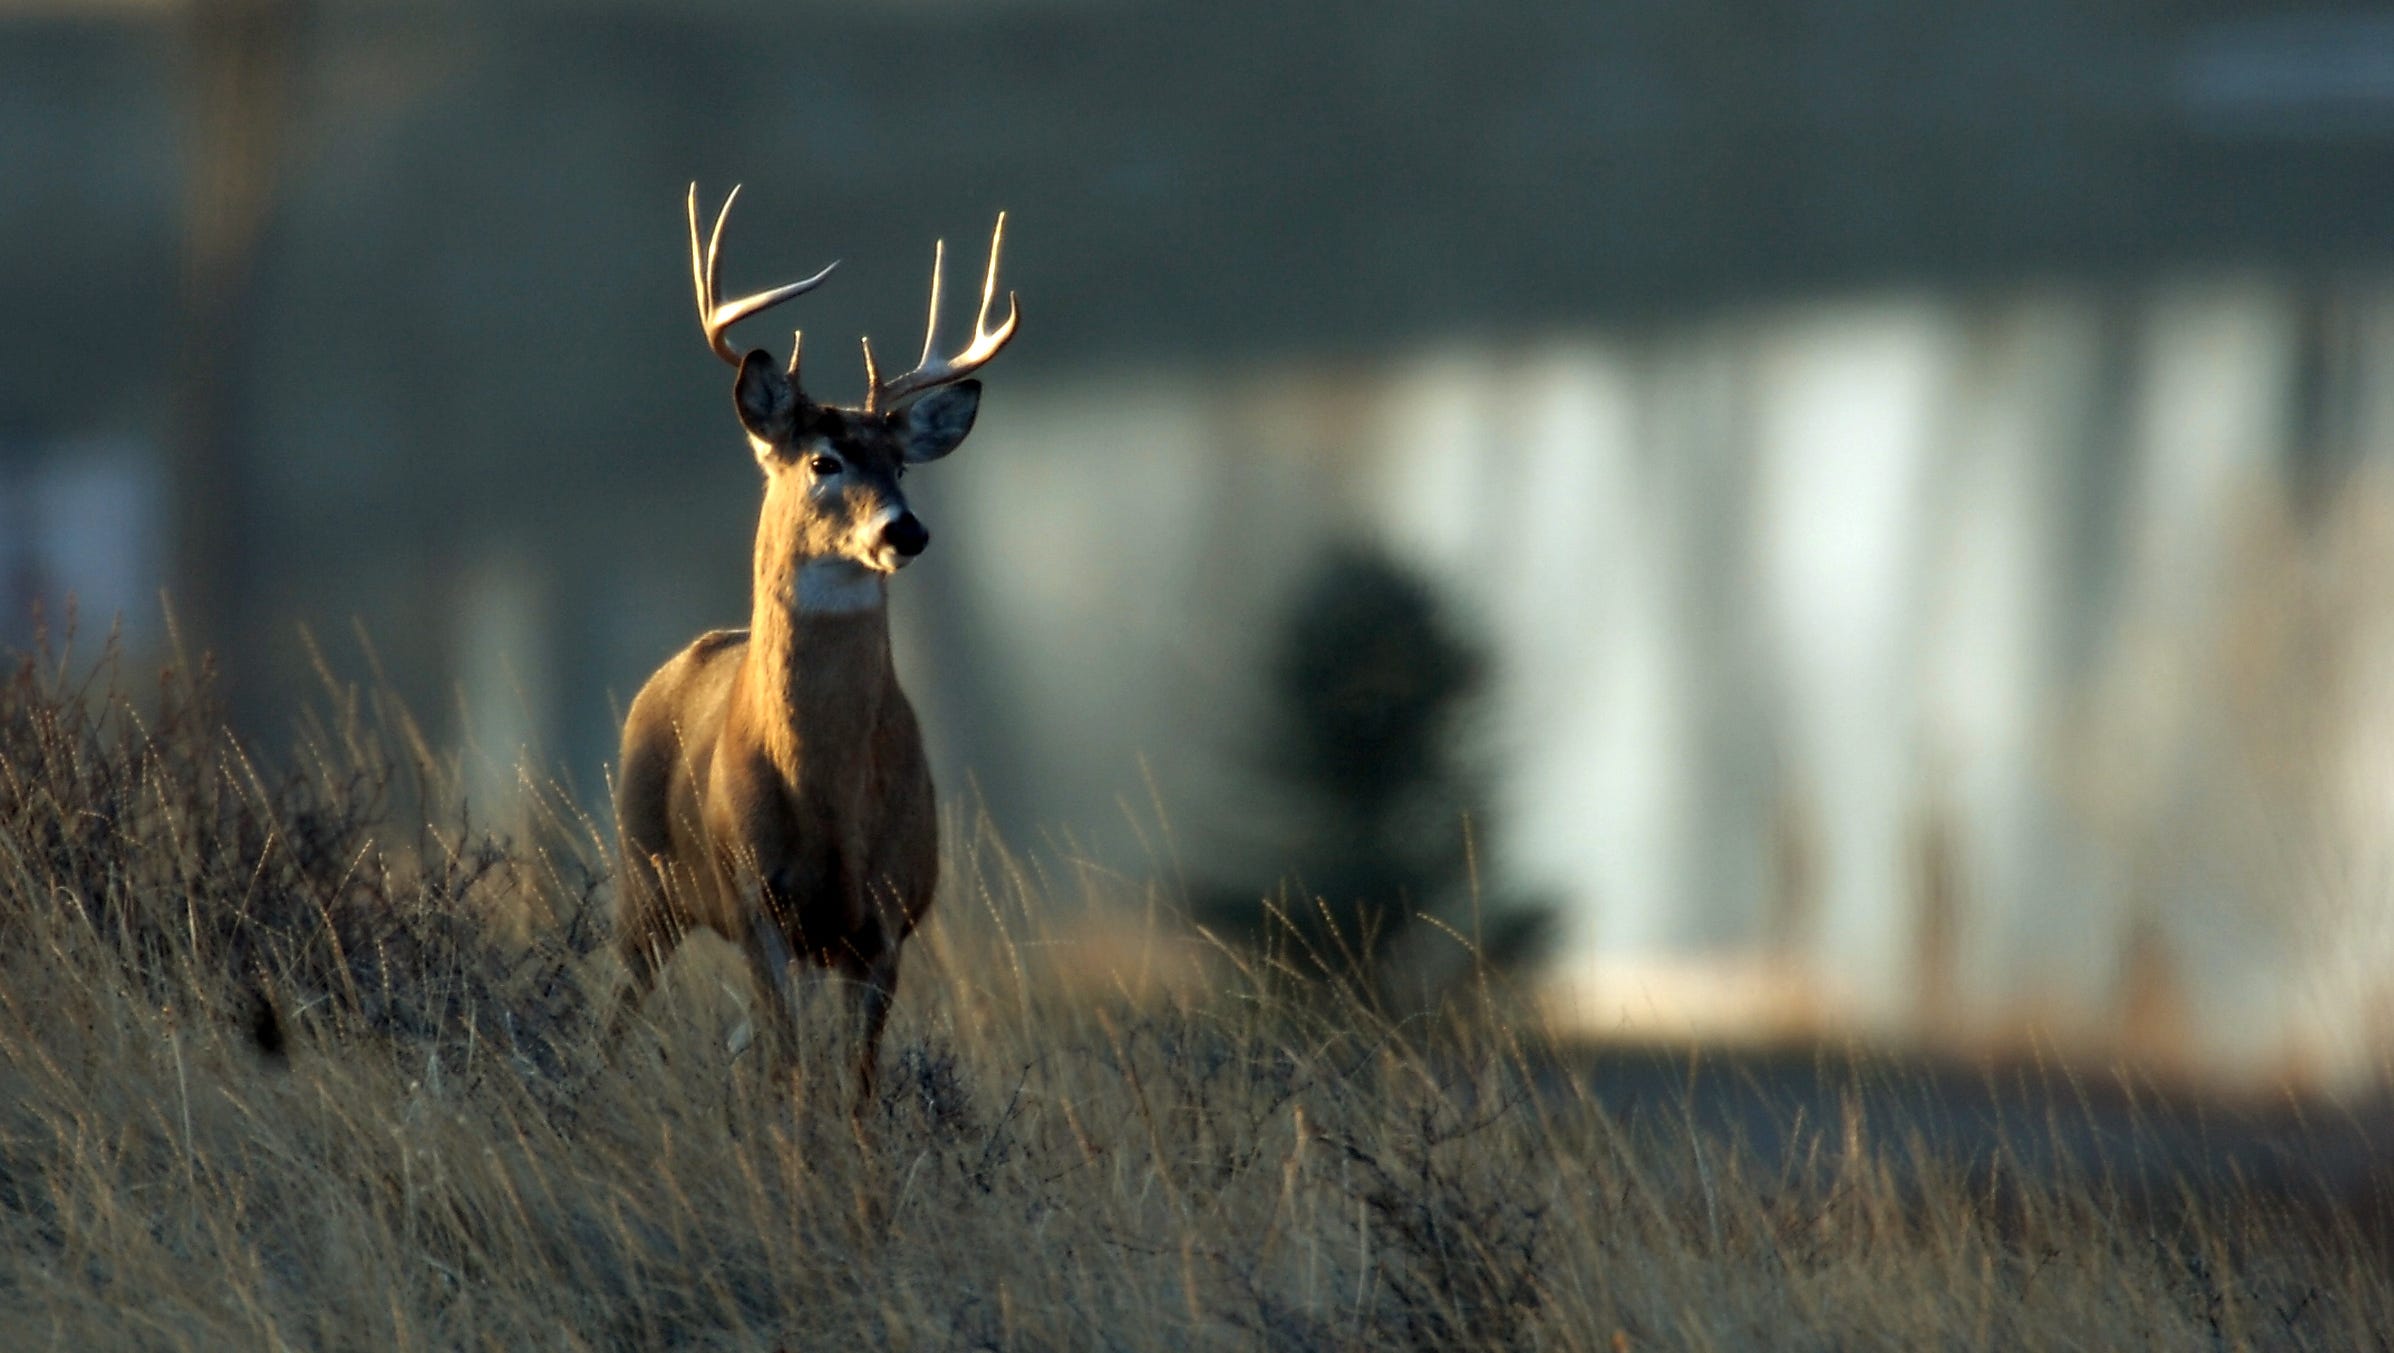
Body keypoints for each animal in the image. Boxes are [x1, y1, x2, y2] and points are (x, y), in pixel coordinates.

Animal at [609, 184, 1017, 1112]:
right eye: (824, 459)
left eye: (904, 463)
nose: (906, 530)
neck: (828, 798)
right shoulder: (760, 904)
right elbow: (789, 1073)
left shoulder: (887, 920)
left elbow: (857, 1086)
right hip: (642, 877)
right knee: (612, 1012)